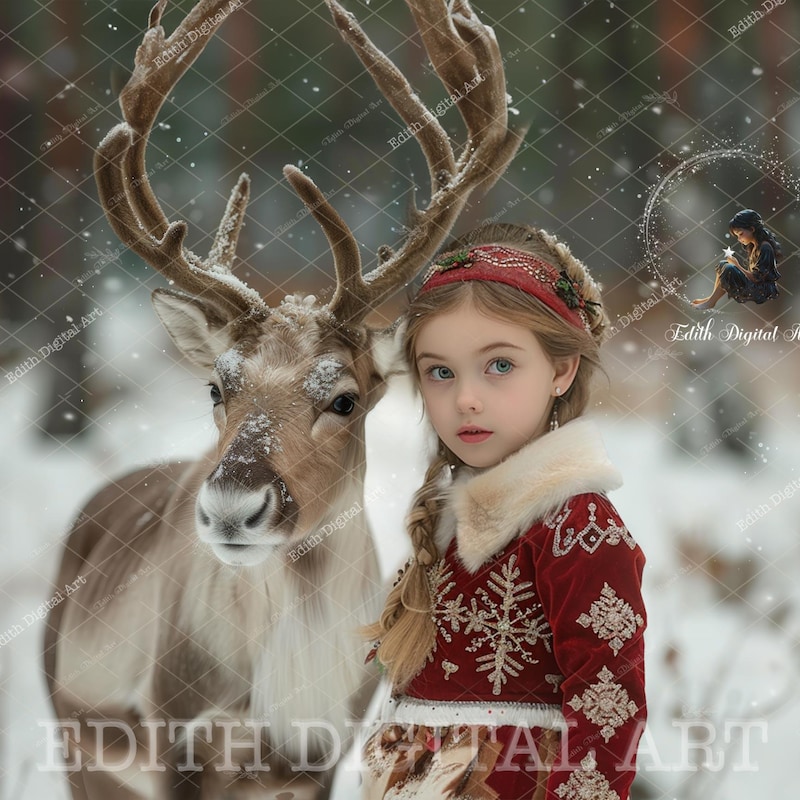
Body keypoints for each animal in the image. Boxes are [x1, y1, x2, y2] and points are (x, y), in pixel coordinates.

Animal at [43, 0, 522, 797]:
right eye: (217, 385)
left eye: (346, 399)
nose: (232, 507)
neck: (288, 704)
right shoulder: (176, 733)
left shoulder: (326, 755)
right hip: (78, 737)